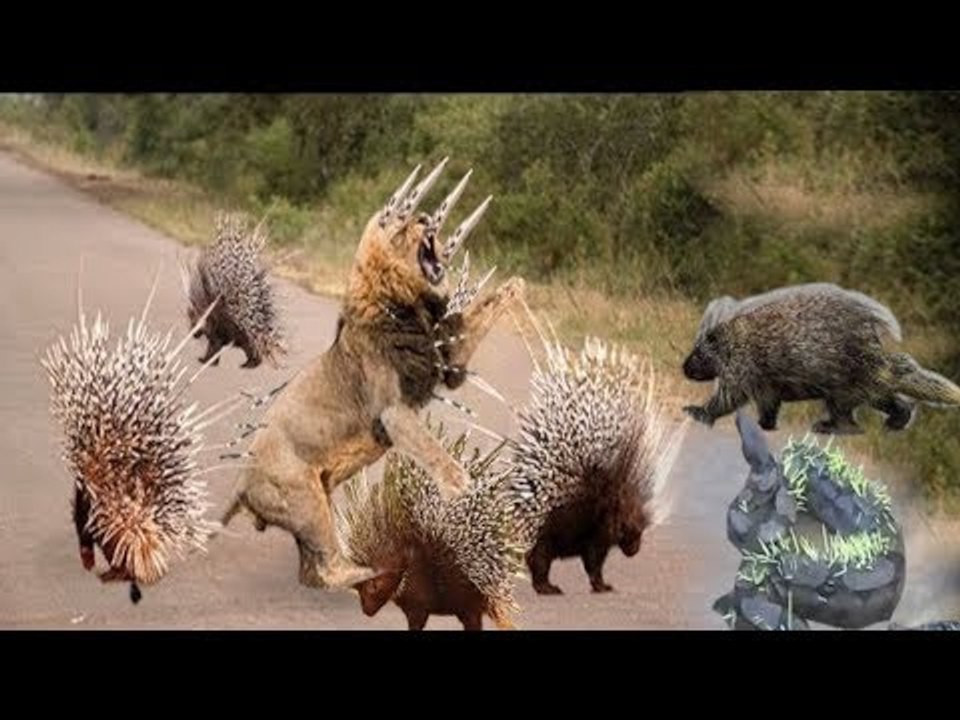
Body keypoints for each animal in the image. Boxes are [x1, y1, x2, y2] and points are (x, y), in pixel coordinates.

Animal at [219, 158, 526, 589]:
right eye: (397, 221)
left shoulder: (447, 360)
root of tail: (242, 479)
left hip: (318, 496)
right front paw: (469, 498)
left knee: (311, 571)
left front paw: (513, 286)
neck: (406, 305)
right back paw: (372, 571)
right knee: (328, 566)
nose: (426, 219)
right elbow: (442, 460)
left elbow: (481, 312)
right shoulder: (394, 414)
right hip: (304, 497)